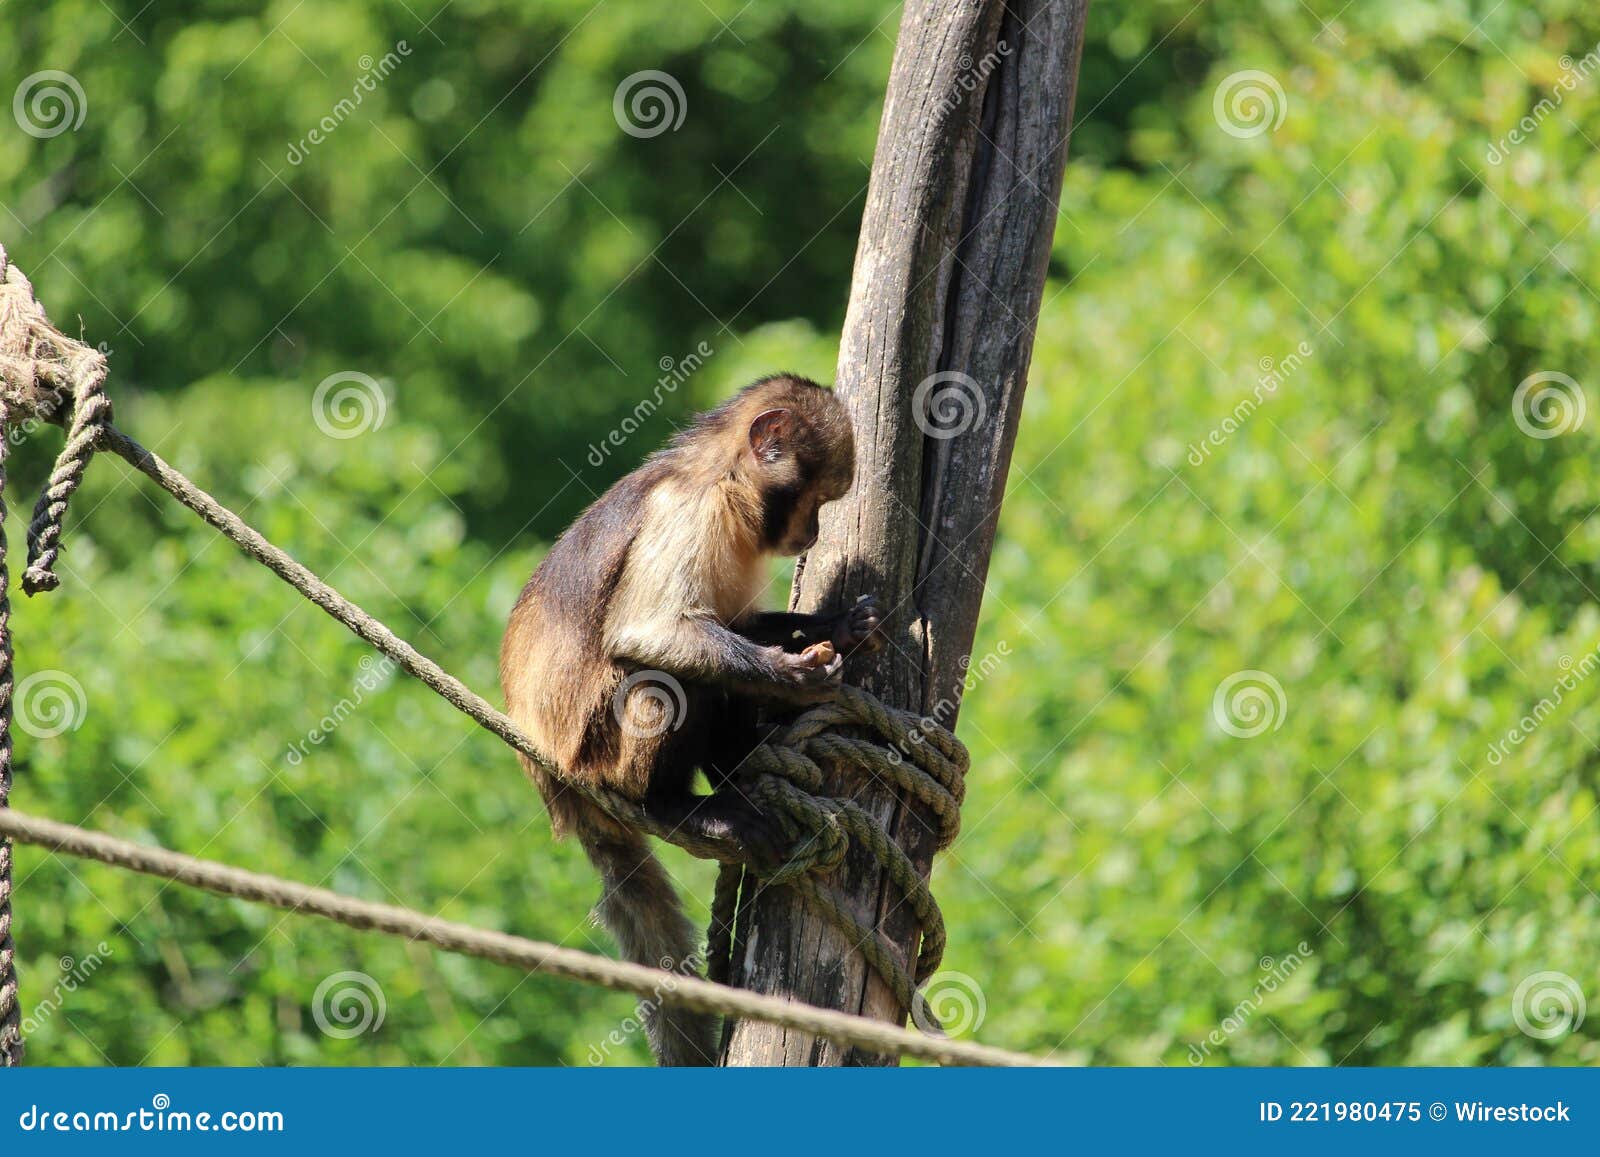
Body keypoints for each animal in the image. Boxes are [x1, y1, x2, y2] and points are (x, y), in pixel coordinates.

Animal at [499, 374, 883, 1066]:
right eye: (815, 499)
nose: (814, 532)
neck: (721, 477)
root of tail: (561, 793)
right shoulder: (692, 510)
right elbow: (647, 635)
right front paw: (793, 676)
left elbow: (736, 623)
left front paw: (837, 627)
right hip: (598, 757)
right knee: (674, 679)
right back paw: (676, 804)